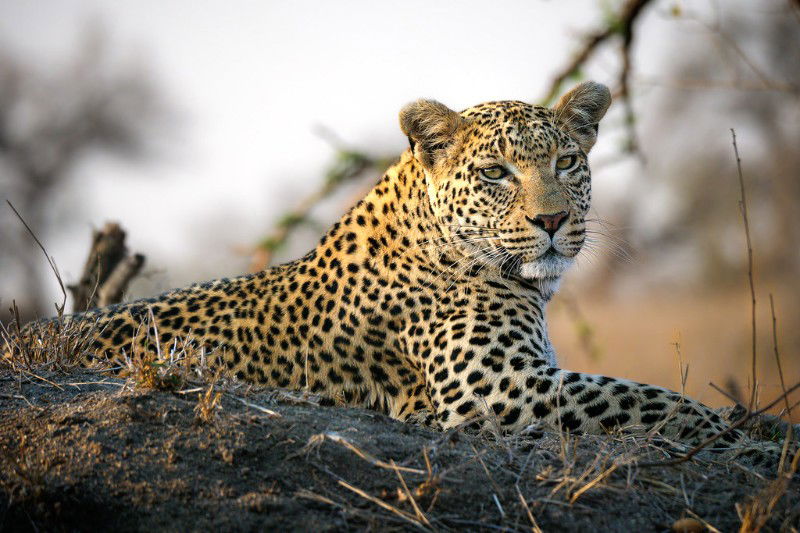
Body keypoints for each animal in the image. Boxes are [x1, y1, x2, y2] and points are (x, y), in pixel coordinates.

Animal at [4, 81, 789, 466]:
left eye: (568, 162)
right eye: (497, 174)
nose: (552, 221)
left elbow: (646, 397)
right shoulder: (497, 389)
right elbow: (649, 399)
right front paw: (758, 441)